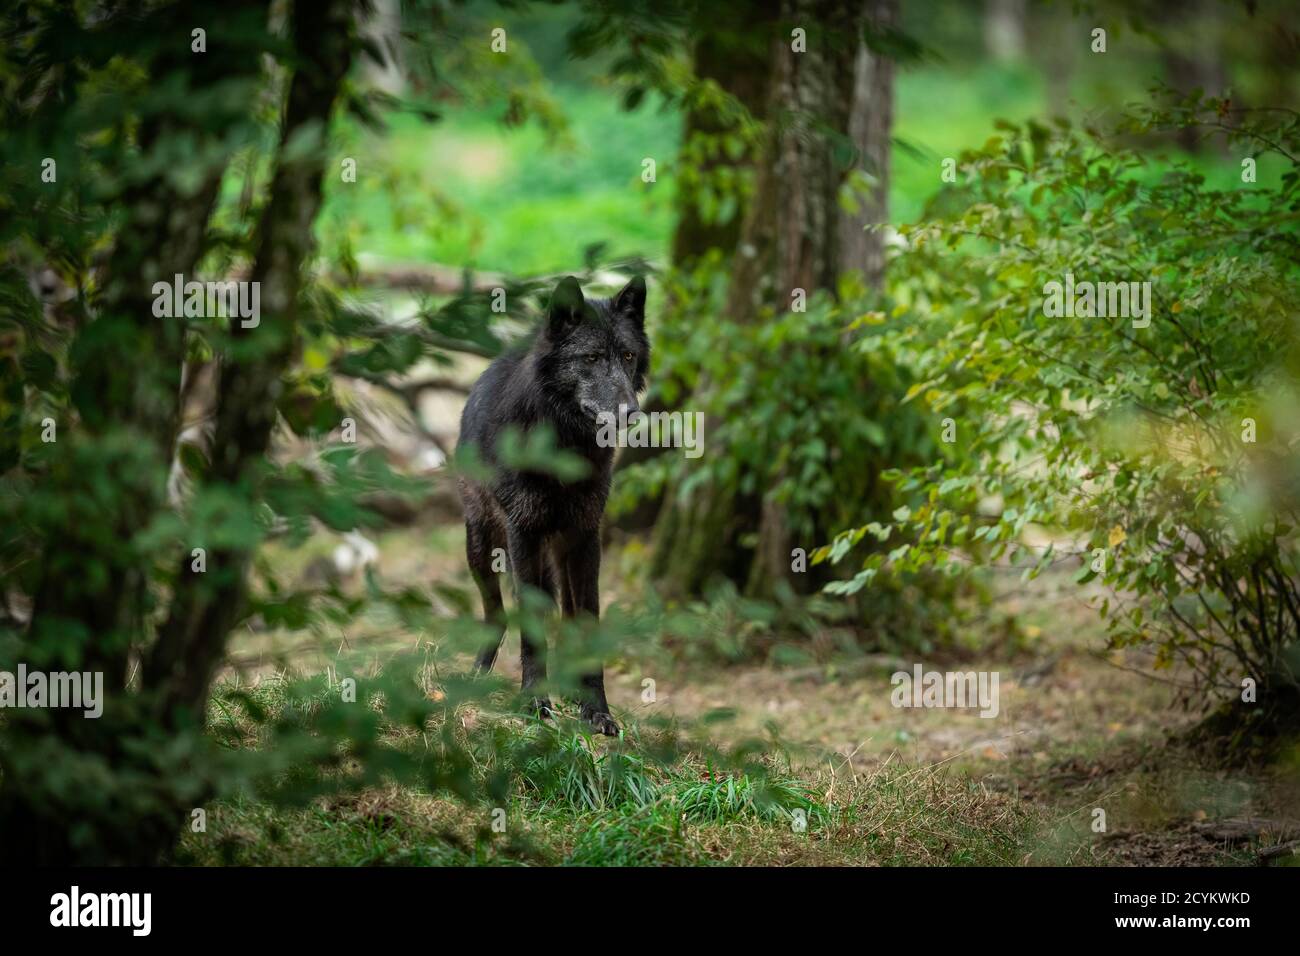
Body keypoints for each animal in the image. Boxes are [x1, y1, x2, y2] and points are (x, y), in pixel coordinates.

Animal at [456, 274, 648, 736]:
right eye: (591, 357)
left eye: (628, 356)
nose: (632, 413)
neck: (563, 445)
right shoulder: (522, 532)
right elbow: (530, 629)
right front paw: (534, 703)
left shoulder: (586, 537)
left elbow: (586, 619)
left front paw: (596, 710)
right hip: (481, 546)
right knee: (498, 613)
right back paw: (478, 674)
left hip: (557, 551)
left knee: (563, 614)